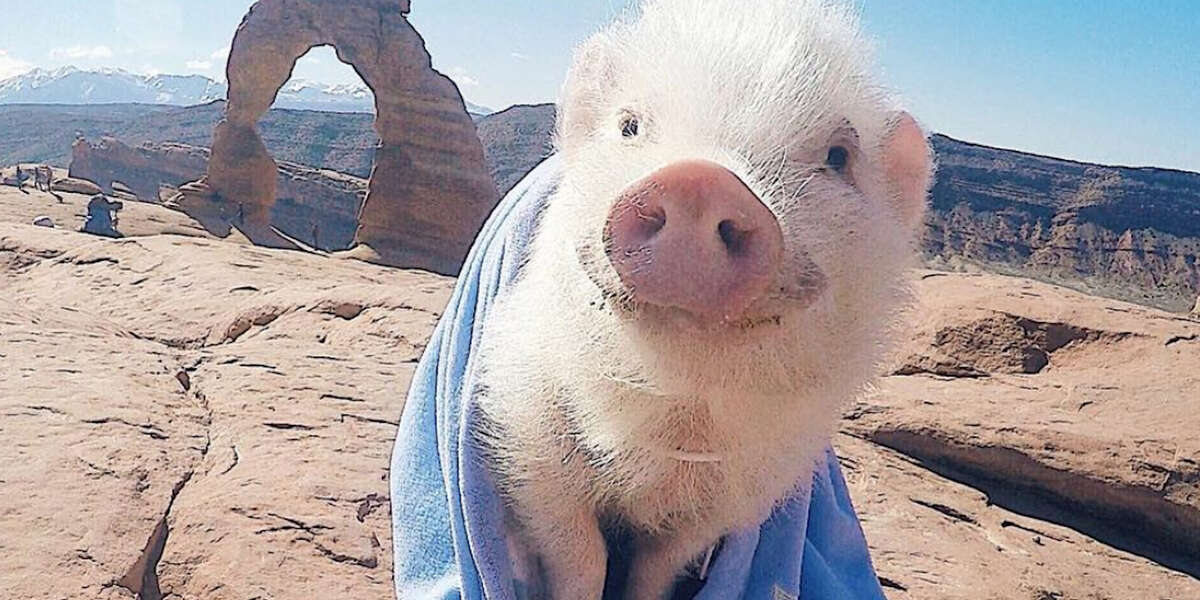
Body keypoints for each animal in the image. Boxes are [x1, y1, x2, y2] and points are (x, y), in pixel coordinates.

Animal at [473, 0, 933, 598]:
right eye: (630, 125)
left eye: (839, 156)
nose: (699, 181)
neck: (676, 416)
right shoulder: (528, 435)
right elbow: (581, 555)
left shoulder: (730, 501)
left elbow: (657, 570)